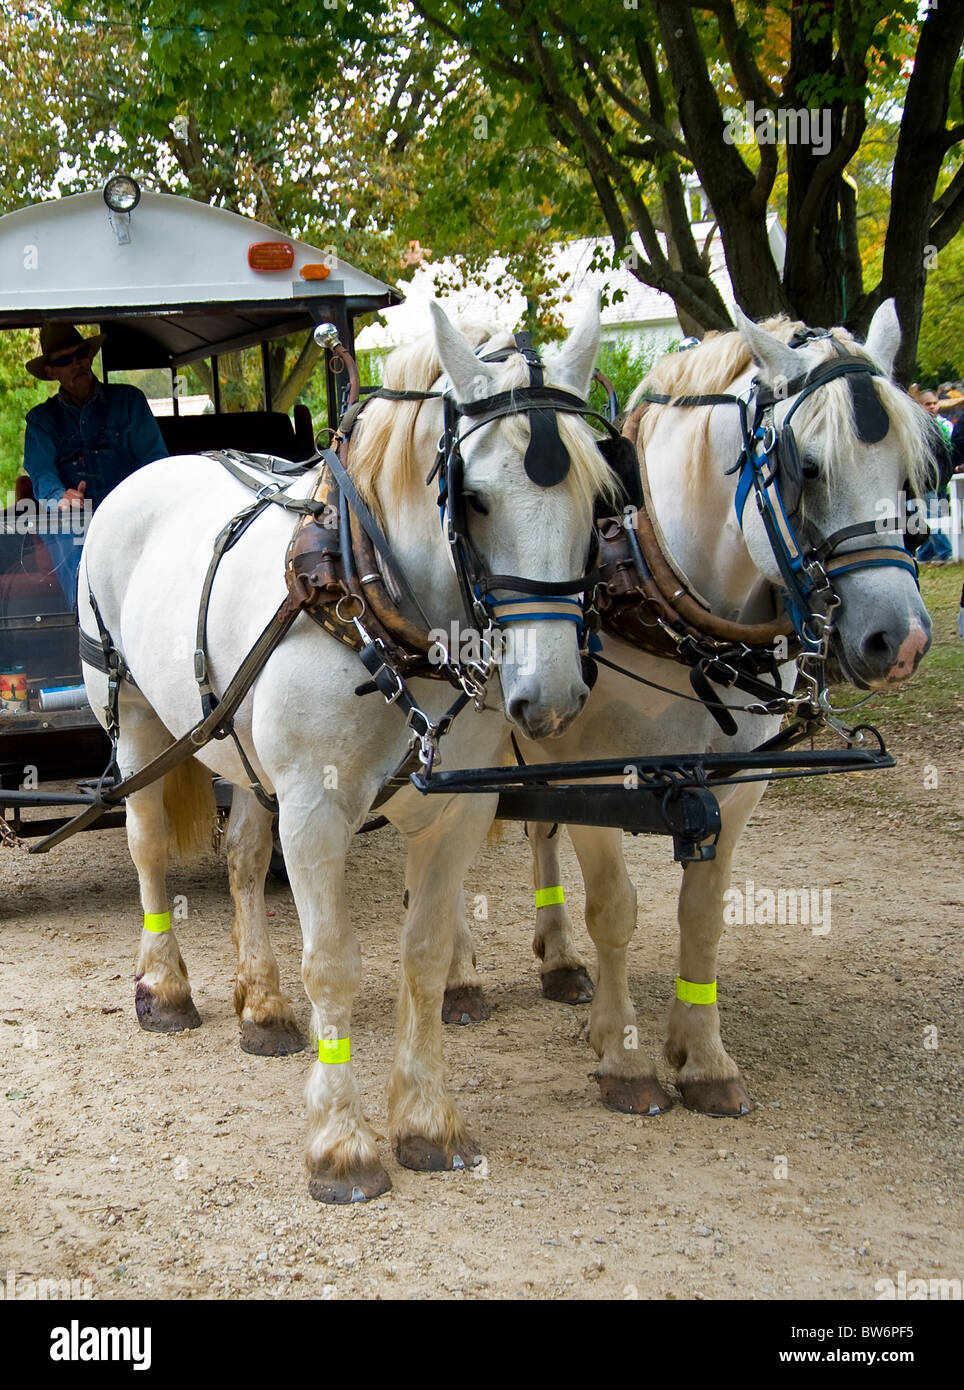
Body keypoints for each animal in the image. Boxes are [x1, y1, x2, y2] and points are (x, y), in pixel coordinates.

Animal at [78, 301, 616, 1203]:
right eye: (473, 498)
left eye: (596, 496)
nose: (550, 695)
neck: (373, 606)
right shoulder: (316, 809)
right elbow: (332, 963)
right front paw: (340, 1142)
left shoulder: (456, 810)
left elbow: (424, 958)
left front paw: (427, 1120)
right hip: (137, 718)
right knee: (147, 844)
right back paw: (166, 988)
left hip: (240, 751)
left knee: (242, 859)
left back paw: (261, 1005)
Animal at [443, 300, 936, 1117]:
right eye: (805, 467)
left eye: (913, 472)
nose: (899, 641)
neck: (667, 592)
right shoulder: (595, 773)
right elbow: (615, 909)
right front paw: (624, 1057)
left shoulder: (734, 783)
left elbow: (702, 918)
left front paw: (703, 1057)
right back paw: (457, 975)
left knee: (537, 829)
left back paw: (558, 959)